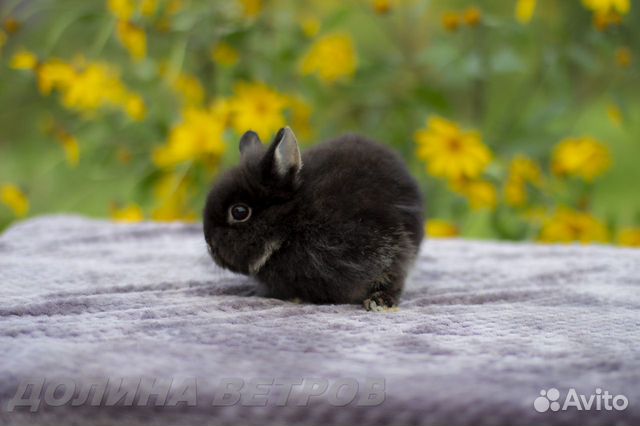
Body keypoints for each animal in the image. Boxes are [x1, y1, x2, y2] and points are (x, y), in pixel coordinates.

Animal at [203, 126, 424, 311]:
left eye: (239, 212)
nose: (210, 246)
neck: (291, 223)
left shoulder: (387, 246)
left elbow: (392, 275)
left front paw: (381, 301)